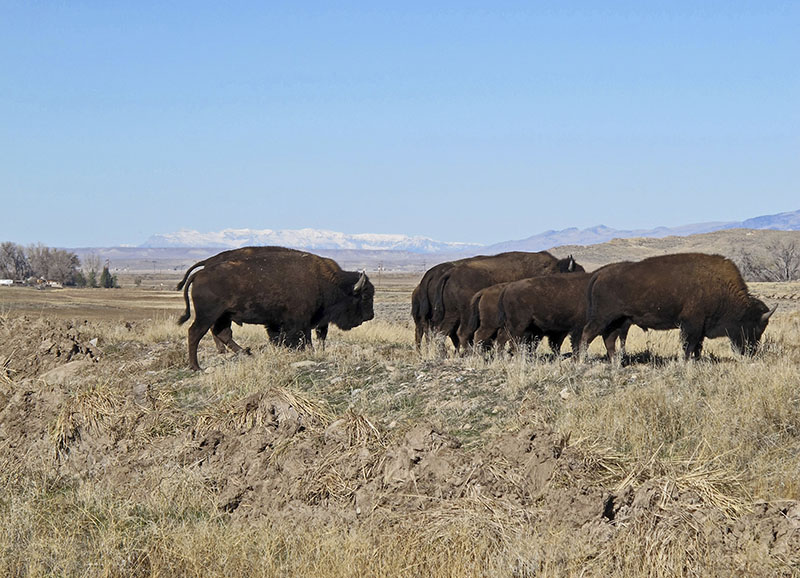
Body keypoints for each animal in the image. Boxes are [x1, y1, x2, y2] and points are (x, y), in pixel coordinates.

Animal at [177, 250, 374, 370]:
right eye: (365, 296)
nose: (370, 316)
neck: (324, 281)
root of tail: (200, 273)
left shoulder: (284, 322)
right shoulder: (300, 321)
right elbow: (304, 338)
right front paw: (307, 352)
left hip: (222, 316)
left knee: (223, 333)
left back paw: (247, 353)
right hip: (207, 315)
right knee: (195, 333)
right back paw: (196, 367)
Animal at [579, 253, 776, 360]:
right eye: (753, 327)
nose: (750, 352)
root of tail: (600, 274)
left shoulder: (700, 326)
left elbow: (697, 347)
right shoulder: (691, 325)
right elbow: (688, 346)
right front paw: (686, 362)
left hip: (619, 320)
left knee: (609, 339)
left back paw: (615, 363)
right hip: (603, 317)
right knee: (587, 334)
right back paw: (582, 361)